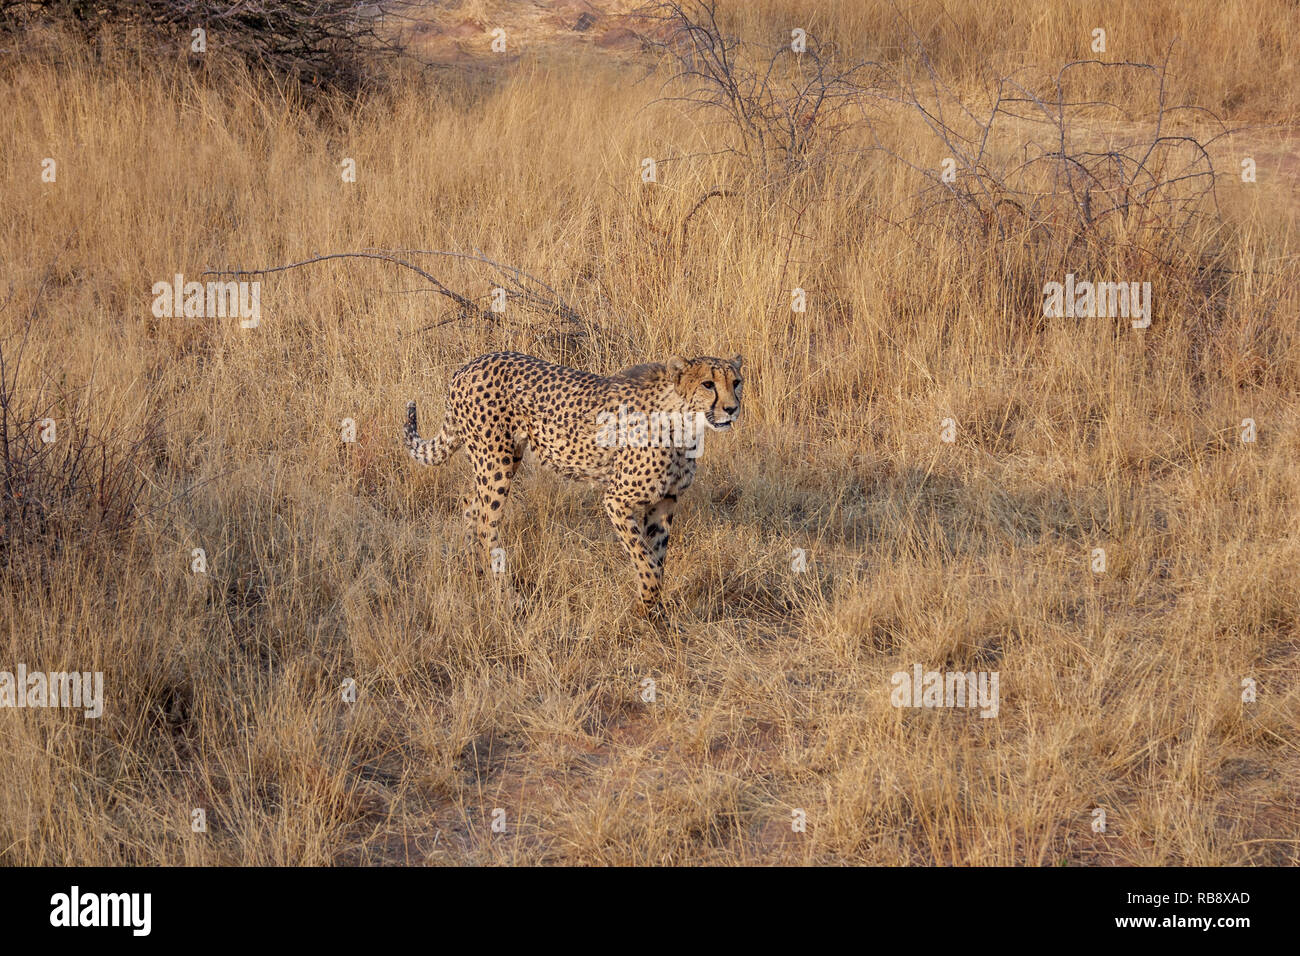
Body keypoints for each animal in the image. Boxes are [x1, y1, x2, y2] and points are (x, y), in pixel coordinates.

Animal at [401, 350, 743, 615]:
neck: (684, 422)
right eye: (708, 384)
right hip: (496, 461)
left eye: (736, 382)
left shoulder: (665, 501)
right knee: (486, 521)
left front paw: (656, 609)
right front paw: (646, 606)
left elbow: (658, 558)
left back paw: (477, 572)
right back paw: (507, 596)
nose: (732, 408)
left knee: (471, 508)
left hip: (502, 459)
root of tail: (470, 365)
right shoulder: (617, 500)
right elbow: (644, 559)